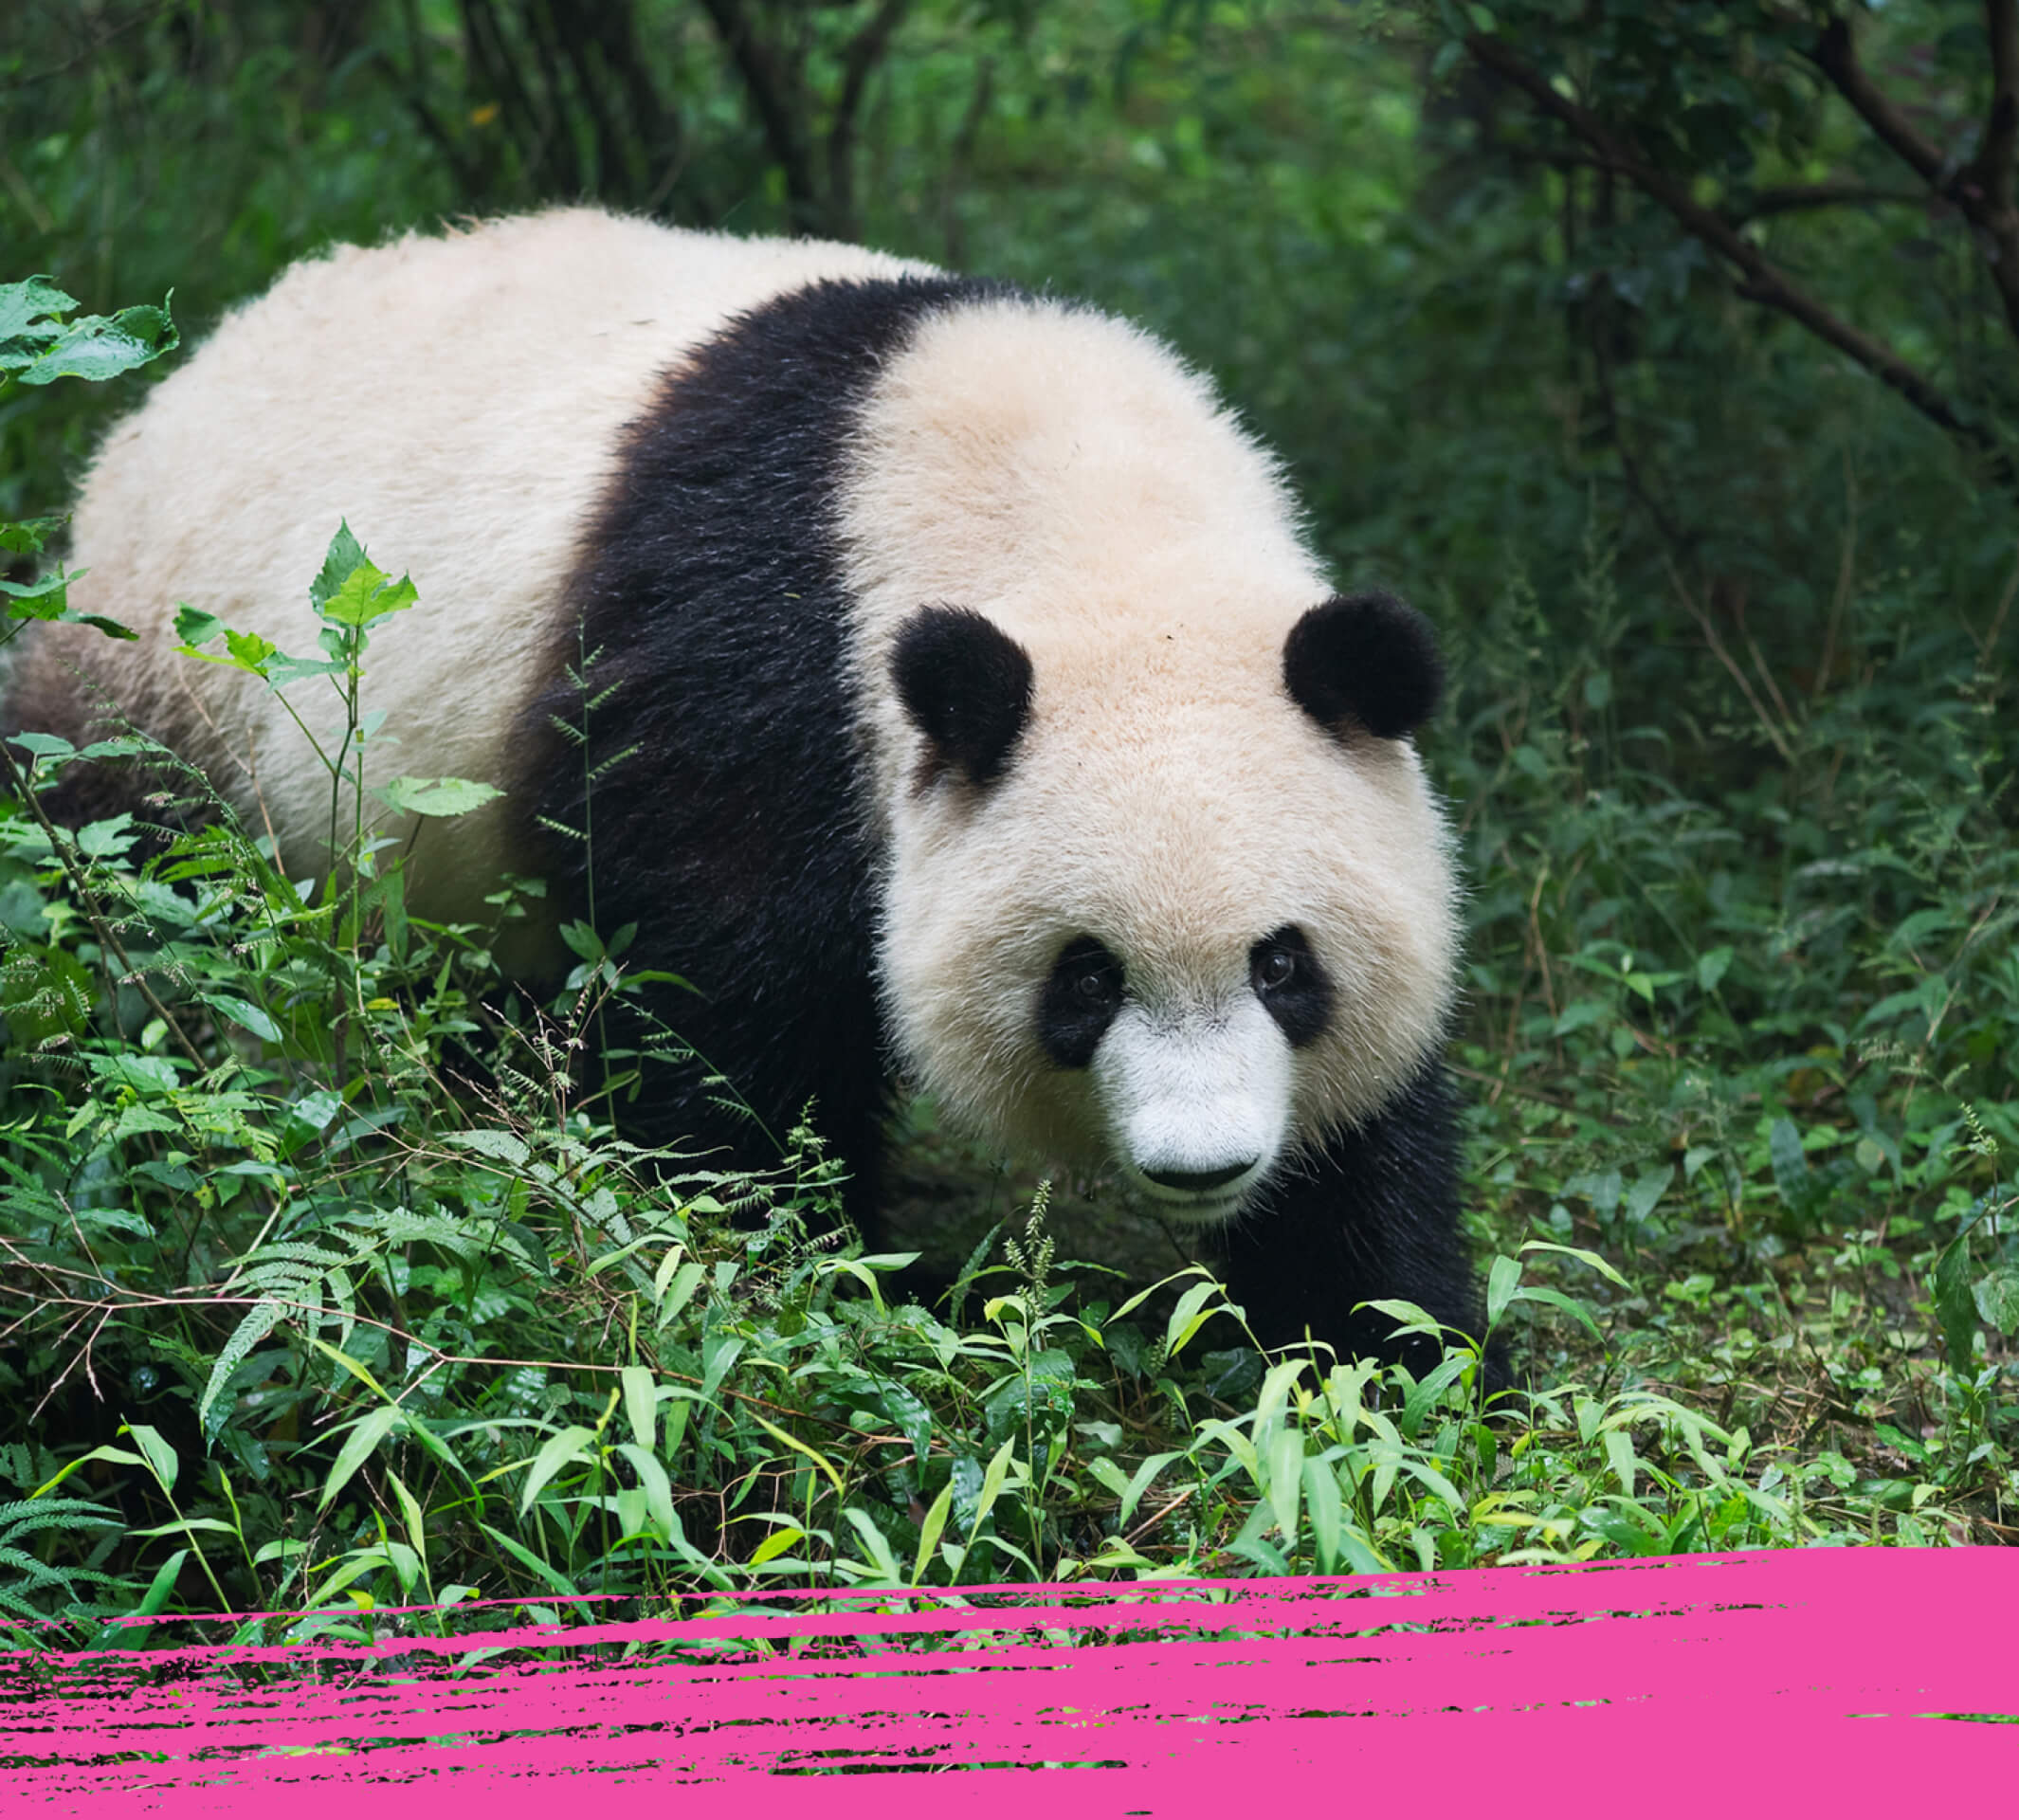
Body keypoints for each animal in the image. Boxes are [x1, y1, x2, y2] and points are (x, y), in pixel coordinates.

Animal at [12, 207, 1491, 1378]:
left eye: (1284, 965)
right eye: (1084, 978)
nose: (1204, 1166)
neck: (1090, 526)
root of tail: (183, 375)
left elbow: (1368, 1136)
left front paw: (1377, 1351)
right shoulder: (758, 690)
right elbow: (729, 1036)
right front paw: (819, 1297)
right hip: (164, 690)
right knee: (129, 917)